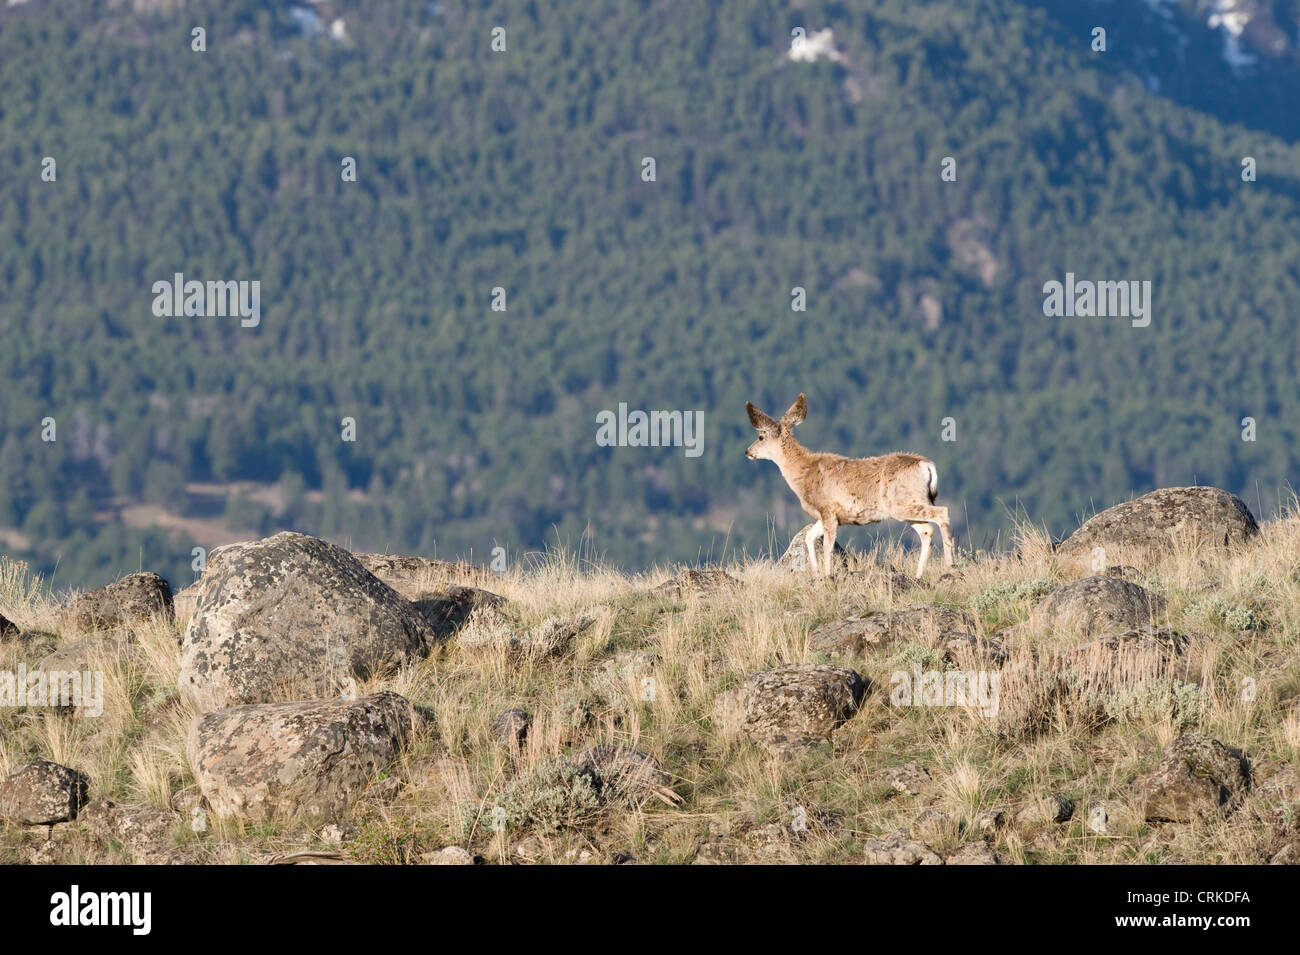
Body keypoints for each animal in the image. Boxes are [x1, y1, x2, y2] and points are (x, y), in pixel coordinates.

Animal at [745, 394, 955, 577]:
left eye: (761, 437)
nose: (747, 451)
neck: (802, 472)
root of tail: (926, 464)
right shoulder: (827, 515)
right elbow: (809, 537)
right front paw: (816, 572)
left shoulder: (828, 510)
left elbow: (827, 546)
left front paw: (827, 575)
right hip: (906, 506)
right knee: (927, 530)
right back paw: (919, 575)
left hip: (903, 503)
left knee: (943, 512)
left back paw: (950, 565)